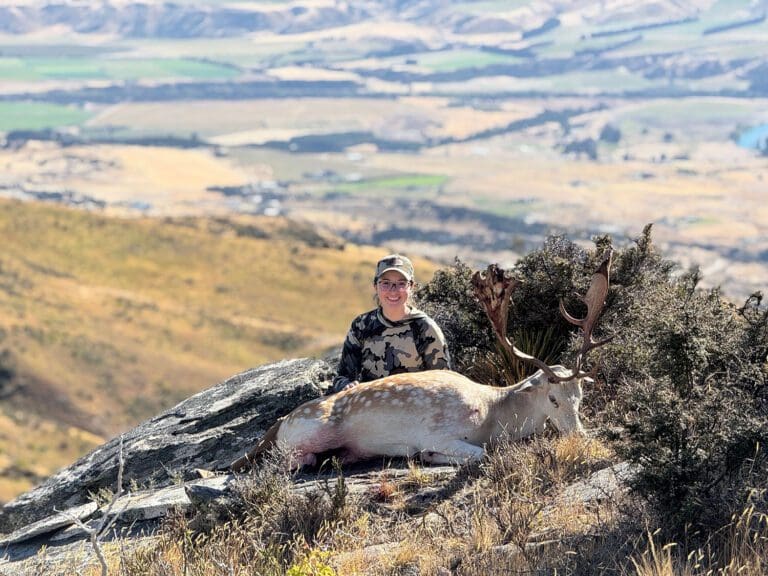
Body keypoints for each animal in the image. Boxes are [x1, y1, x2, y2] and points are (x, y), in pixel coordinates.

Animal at [231, 250, 613, 471]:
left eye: (580, 397)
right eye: (552, 397)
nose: (579, 435)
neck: (492, 415)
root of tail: (280, 422)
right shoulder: (438, 432)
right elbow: (478, 453)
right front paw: (427, 456)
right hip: (302, 439)